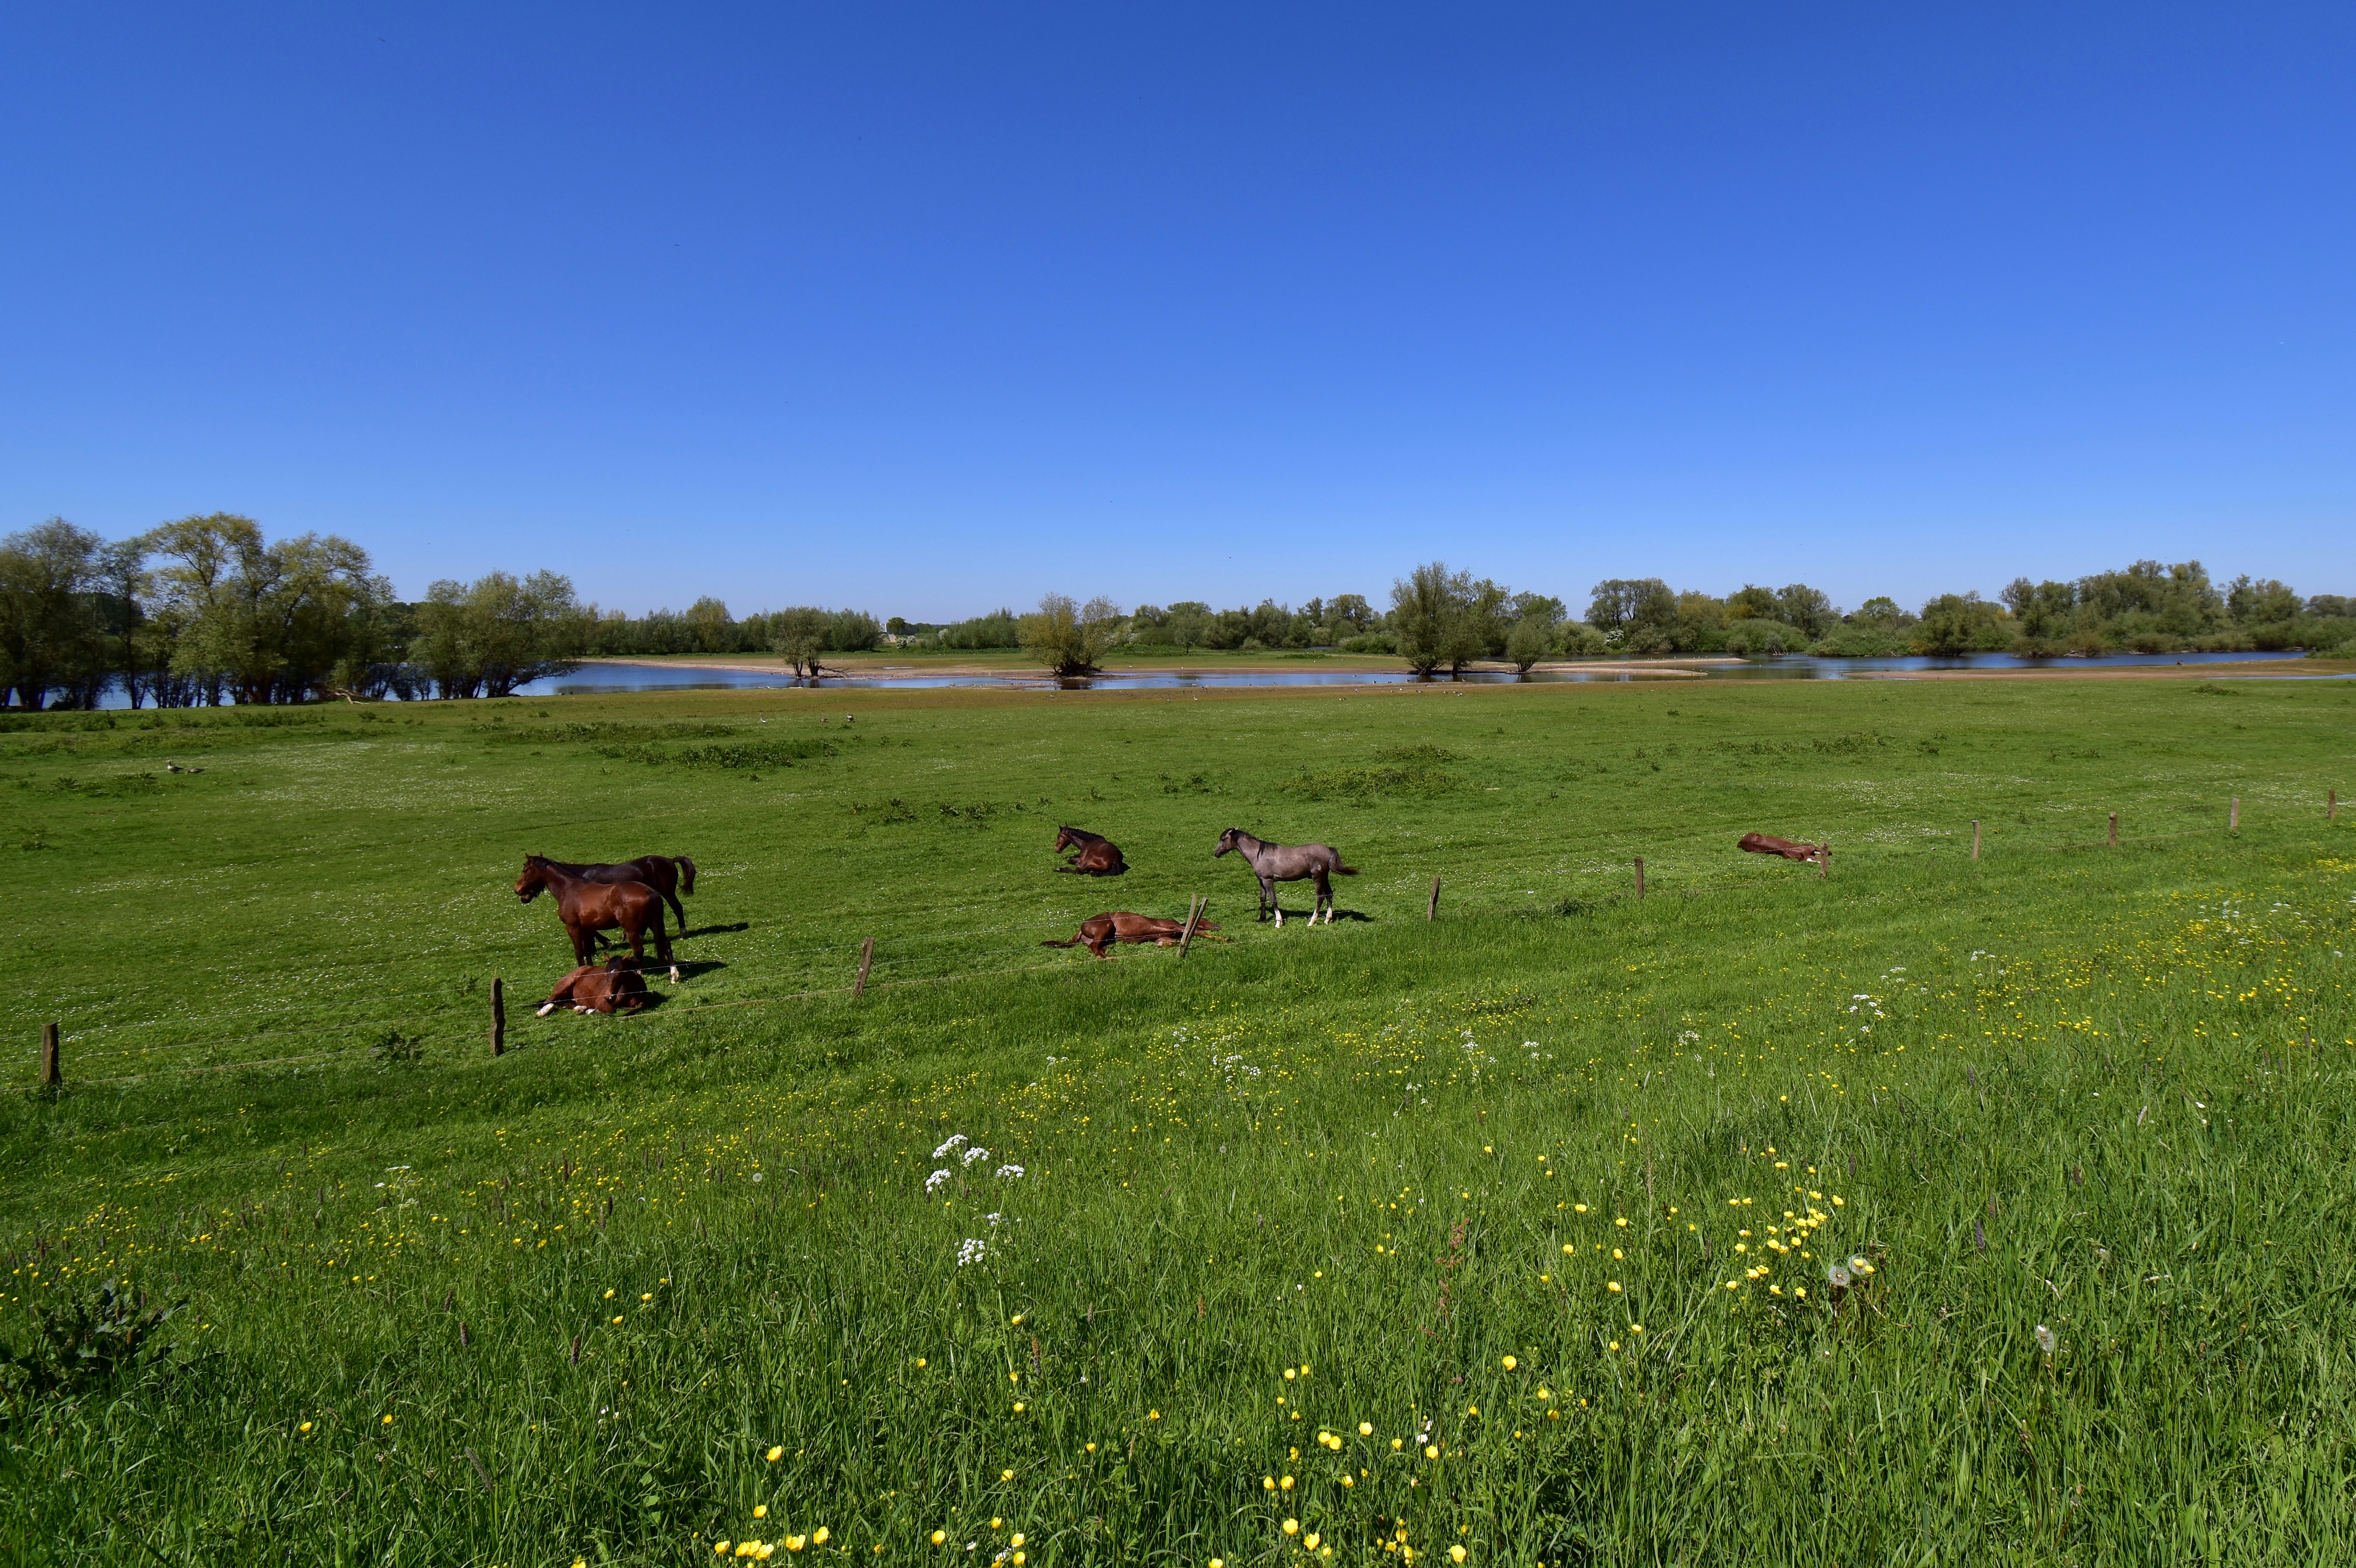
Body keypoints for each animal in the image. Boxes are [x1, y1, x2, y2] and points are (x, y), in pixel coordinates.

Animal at [514, 855, 677, 973]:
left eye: (525, 870)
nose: (517, 890)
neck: (569, 889)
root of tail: (650, 891)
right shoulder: (586, 928)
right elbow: (587, 951)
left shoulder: (573, 928)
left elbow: (579, 952)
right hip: (654, 925)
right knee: (666, 943)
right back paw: (674, 975)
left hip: (632, 930)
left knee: (638, 950)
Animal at [536, 957, 651, 1016]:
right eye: (606, 972)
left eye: (620, 973)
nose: (609, 997)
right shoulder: (601, 1002)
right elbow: (611, 1010)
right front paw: (592, 1011)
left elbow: (641, 1005)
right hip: (563, 988)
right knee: (549, 1002)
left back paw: (580, 1009)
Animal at [1041, 910, 1221, 959]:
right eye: (1205, 919)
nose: (1218, 926)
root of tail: (1082, 927)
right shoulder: (1167, 928)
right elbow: (1194, 931)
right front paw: (1223, 939)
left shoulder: (1162, 938)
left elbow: (1166, 942)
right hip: (1104, 929)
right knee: (1094, 948)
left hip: (1106, 941)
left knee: (1098, 950)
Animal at [1053, 826, 1128, 877]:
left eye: (1058, 837)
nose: (1056, 849)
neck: (1089, 841)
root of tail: (1115, 860)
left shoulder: (1082, 859)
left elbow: (1069, 861)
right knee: (1093, 873)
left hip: (1089, 858)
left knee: (1079, 871)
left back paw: (1060, 869)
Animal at [1214, 828, 1358, 926]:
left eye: (1223, 839)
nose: (1216, 853)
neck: (1259, 855)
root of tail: (1328, 849)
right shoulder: (1261, 881)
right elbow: (1262, 899)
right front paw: (1262, 919)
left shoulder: (1268, 881)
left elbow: (1273, 900)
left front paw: (1279, 922)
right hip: (1324, 878)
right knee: (1329, 894)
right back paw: (1327, 920)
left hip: (1318, 878)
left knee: (1320, 898)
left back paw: (1312, 922)